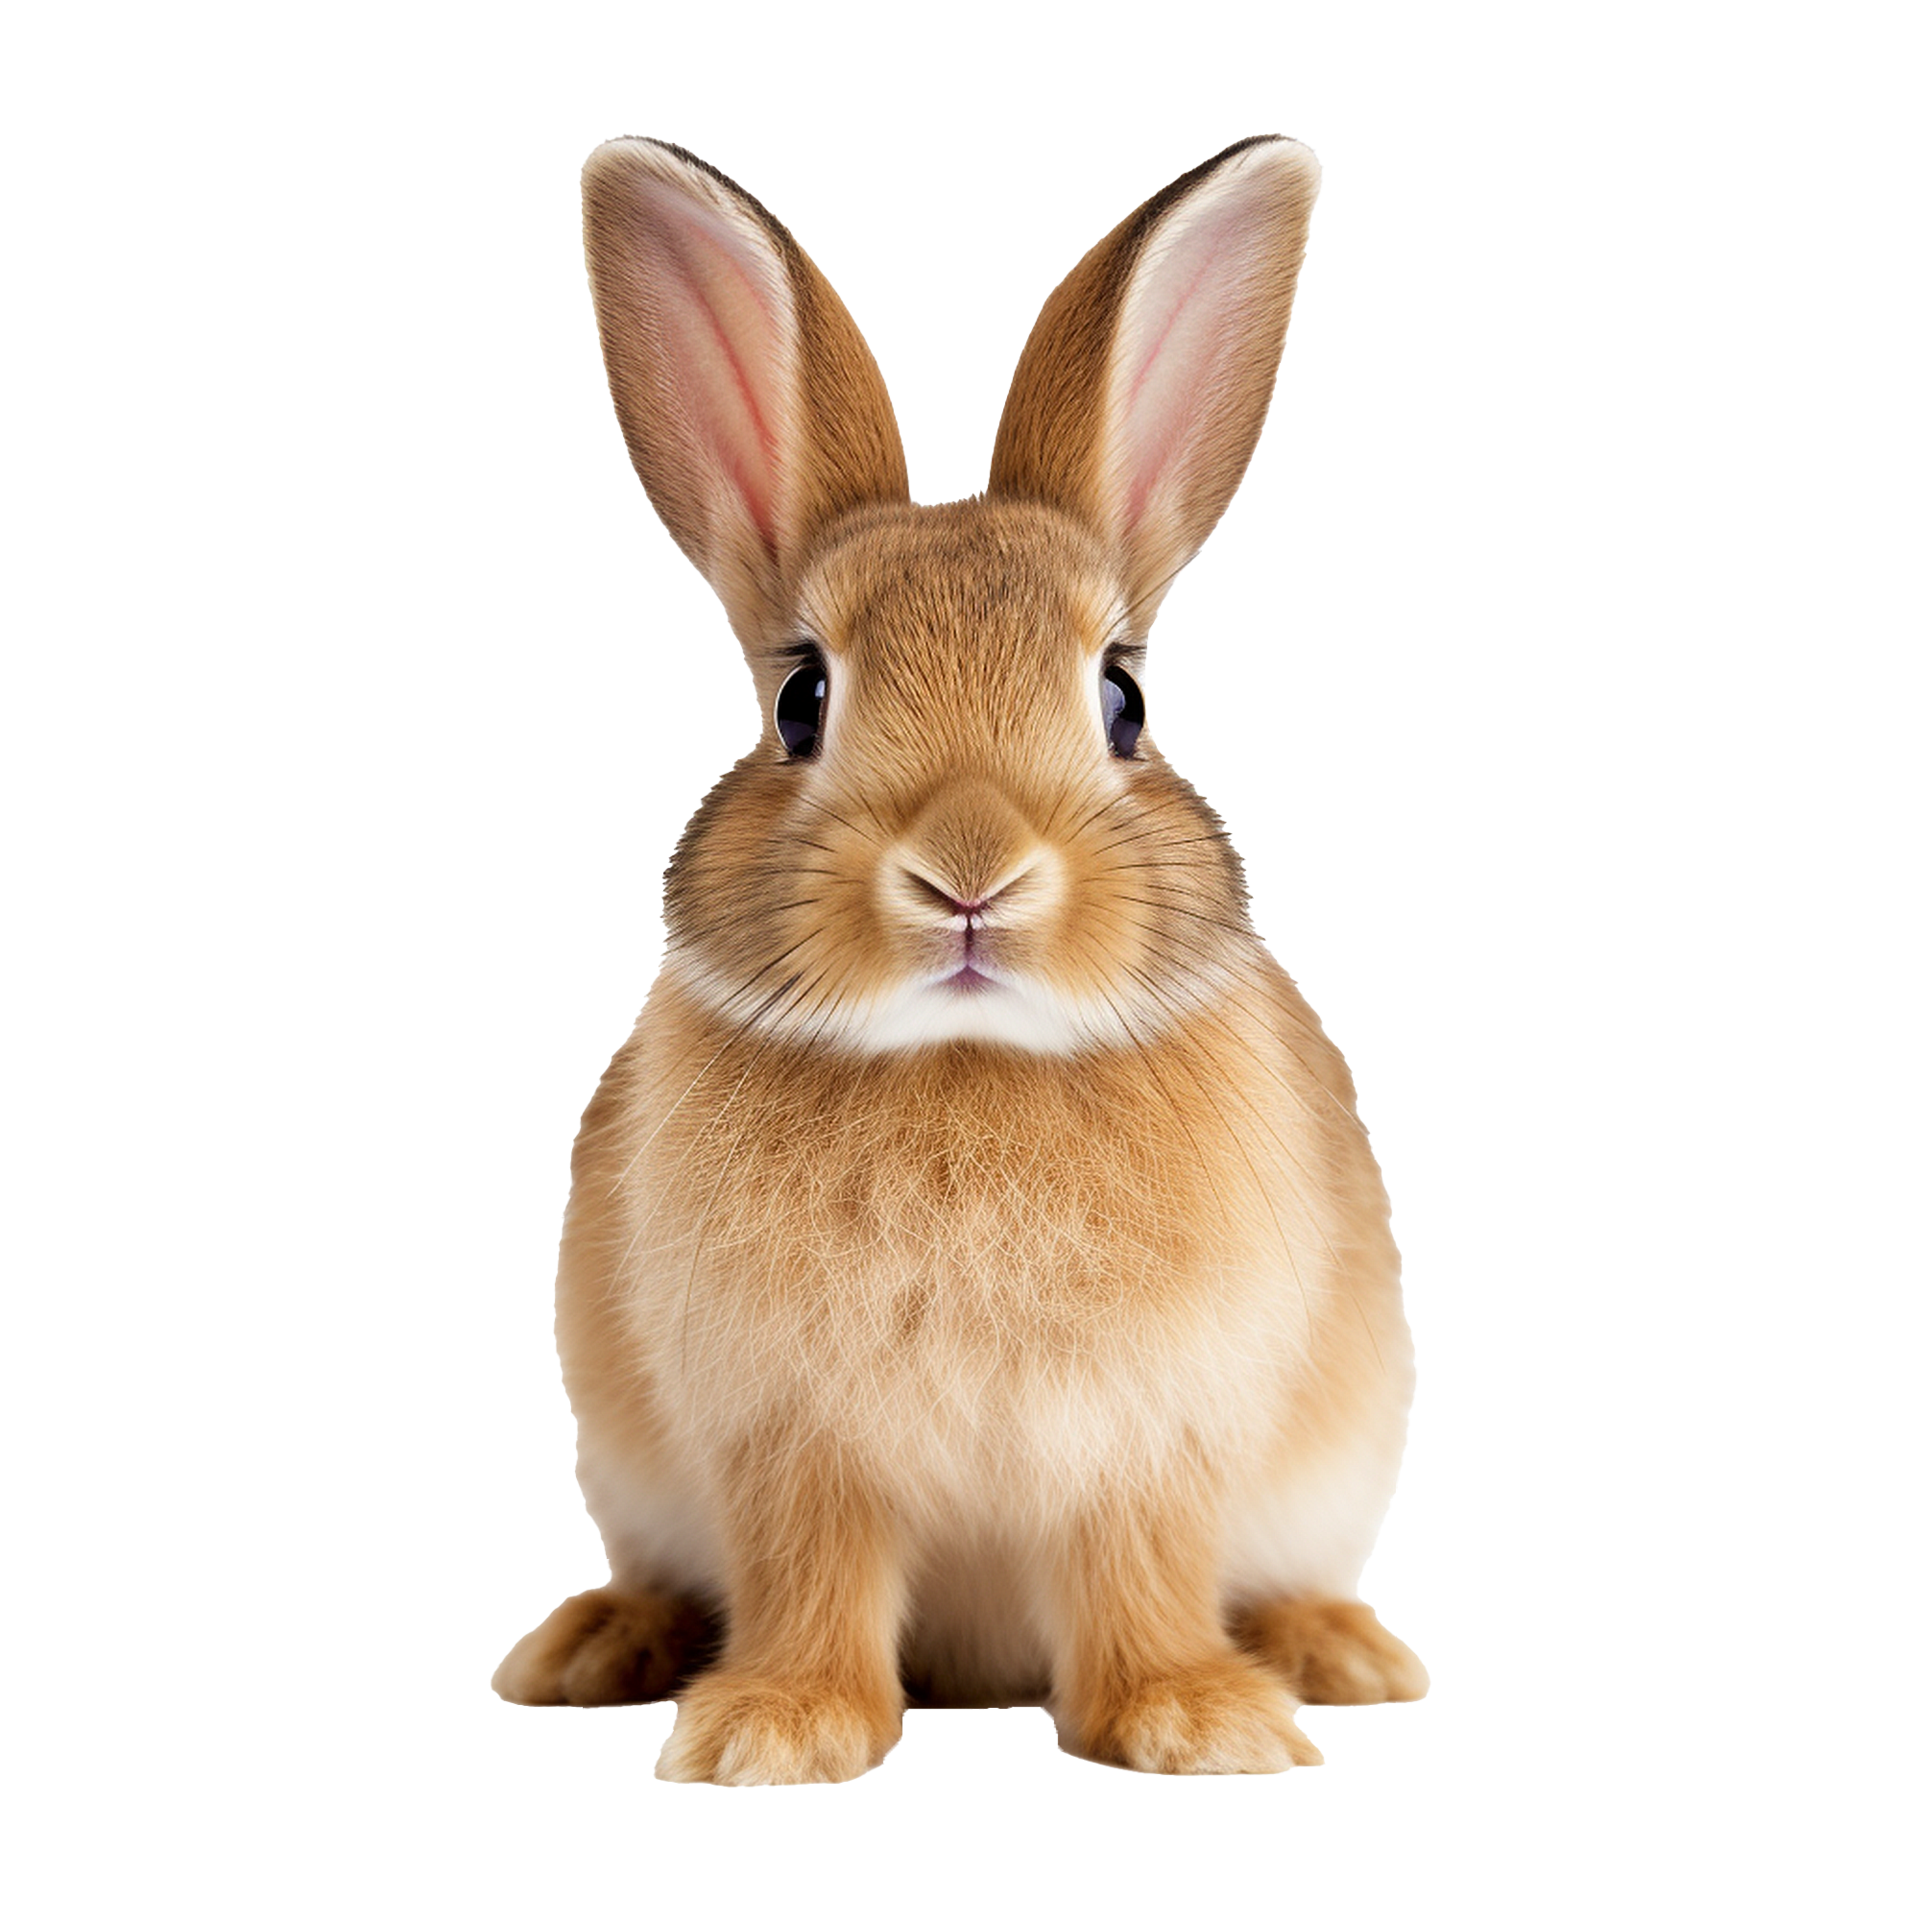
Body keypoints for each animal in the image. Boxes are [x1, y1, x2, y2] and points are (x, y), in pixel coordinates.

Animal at [490, 131, 1429, 1785]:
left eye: (1123, 700)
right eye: (800, 701)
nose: (971, 876)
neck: (964, 1054)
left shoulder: (1150, 1434)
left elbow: (1137, 1571)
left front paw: (1197, 1724)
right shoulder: (790, 1441)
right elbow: (812, 1577)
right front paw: (775, 1735)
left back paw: (1336, 1652)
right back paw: (599, 1645)